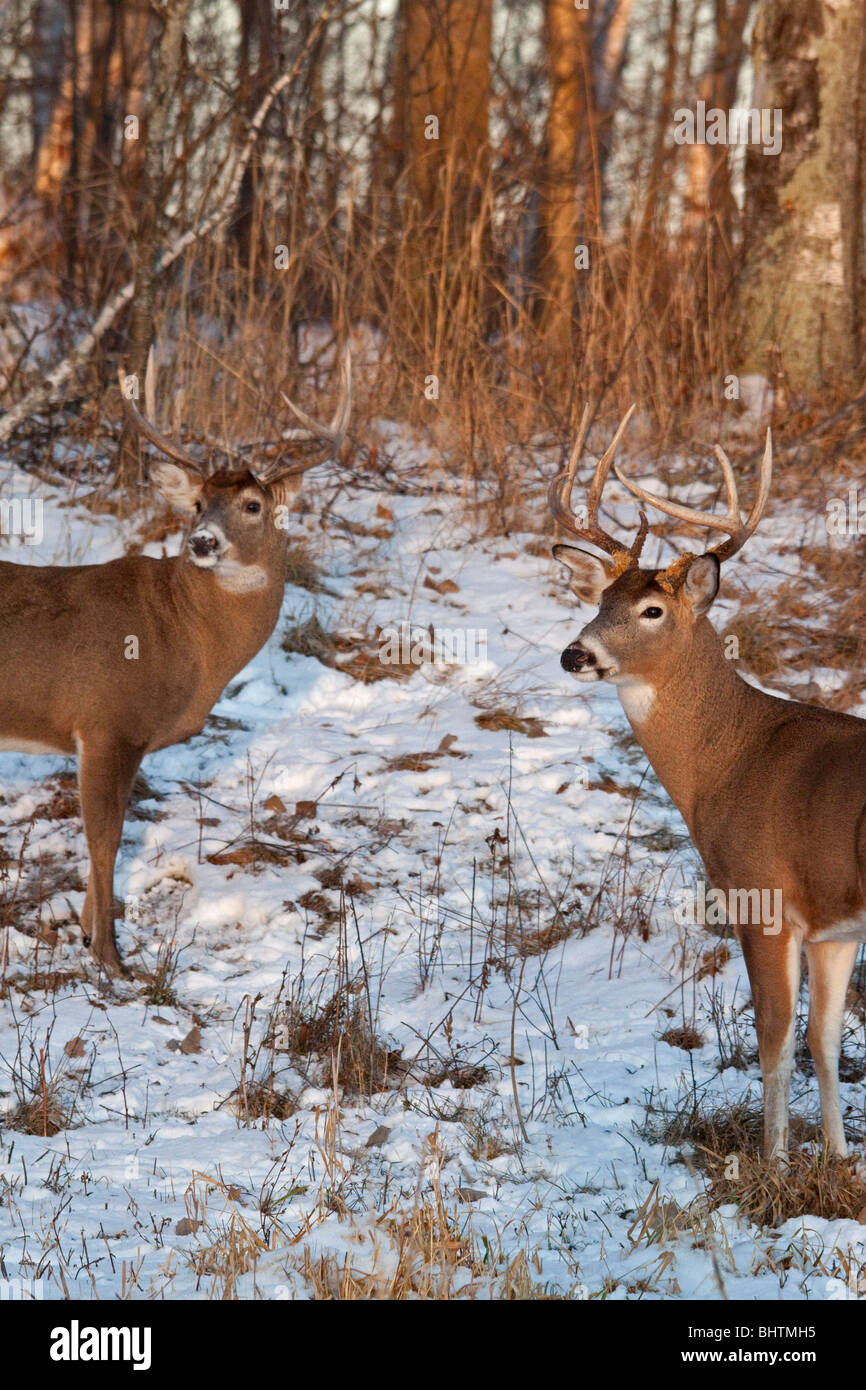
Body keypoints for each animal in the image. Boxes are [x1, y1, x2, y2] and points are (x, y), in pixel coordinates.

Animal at [0, 347, 351, 977]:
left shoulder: (127, 736)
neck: (179, 632)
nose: (203, 541)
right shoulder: (105, 722)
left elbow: (107, 836)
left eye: (253, 505)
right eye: (198, 503)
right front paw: (111, 961)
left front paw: (88, 937)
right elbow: (106, 840)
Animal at [550, 408, 866, 1161]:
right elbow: (825, 1042)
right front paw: (839, 1164)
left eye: (652, 611)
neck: (729, 760)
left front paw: (774, 1166)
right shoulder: (835, 927)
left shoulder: (763, 896)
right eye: (600, 599)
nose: (575, 653)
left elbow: (775, 1041)